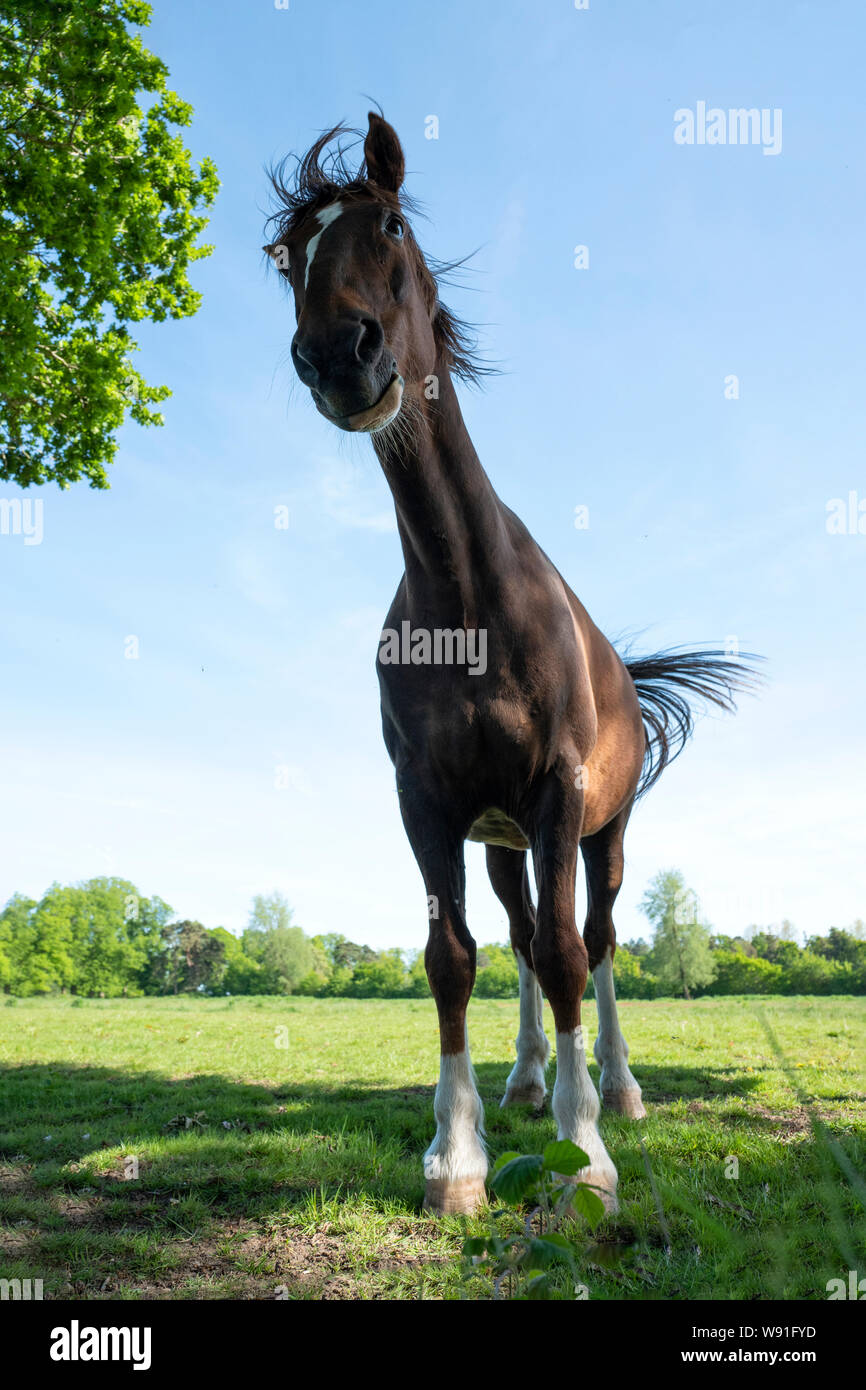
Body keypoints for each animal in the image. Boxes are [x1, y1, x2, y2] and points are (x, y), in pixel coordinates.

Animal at [264, 112, 758, 1216]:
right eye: (285, 258)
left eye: (390, 224)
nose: (339, 356)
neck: (464, 596)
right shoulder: (428, 801)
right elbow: (453, 958)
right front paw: (458, 1158)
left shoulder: (556, 792)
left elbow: (573, 952)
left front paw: (588, 1160)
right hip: (499, 843)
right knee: (523, 938)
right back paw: (530, 1080)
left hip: (601, 831)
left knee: (595, 940)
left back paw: (616, 1089)